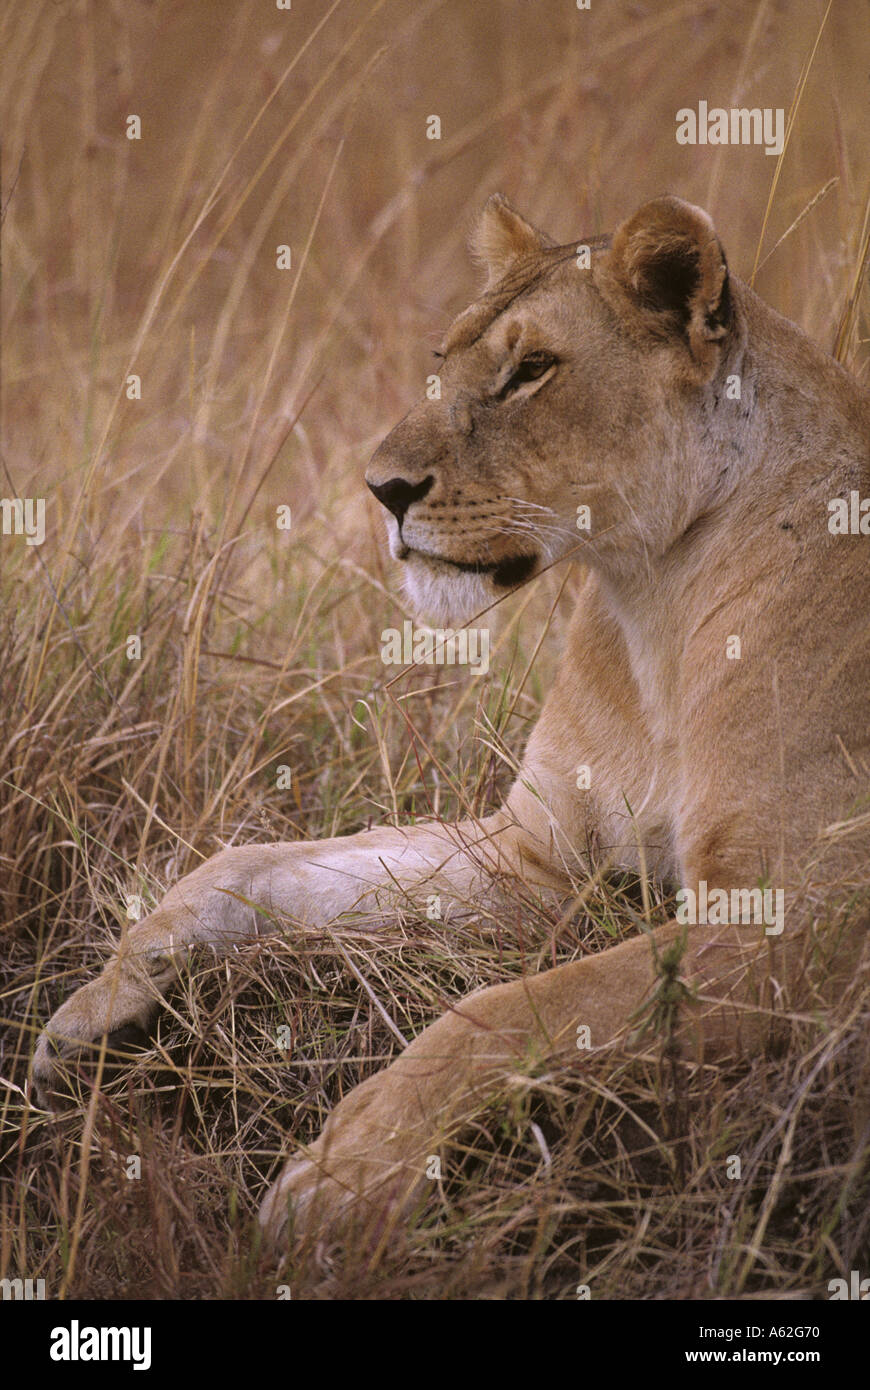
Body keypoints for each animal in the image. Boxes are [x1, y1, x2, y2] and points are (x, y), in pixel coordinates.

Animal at [33, 195, 870, 1245]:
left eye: (532, 369)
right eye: (448, 358)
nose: (382, 490)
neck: (654, 603)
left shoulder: (803, 918)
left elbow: (512, 1005)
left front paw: (342, 1174)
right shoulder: (537, 856)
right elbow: (249, 865)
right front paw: (96, 1009)